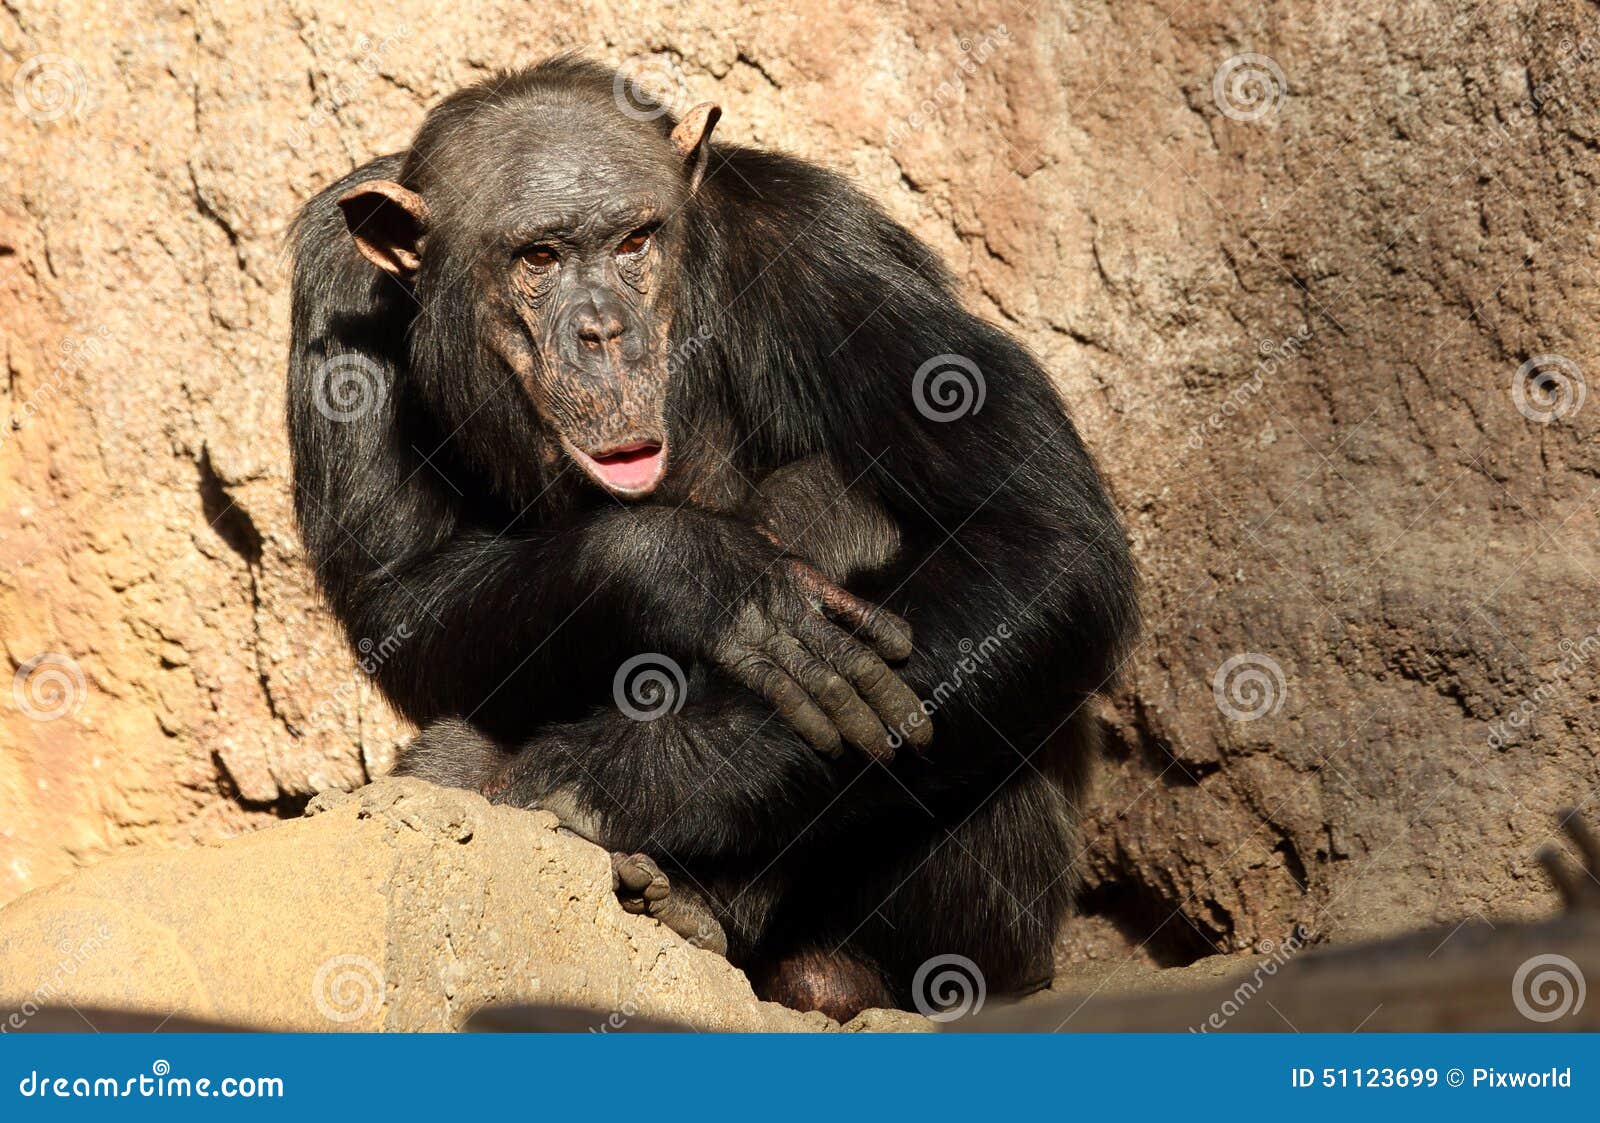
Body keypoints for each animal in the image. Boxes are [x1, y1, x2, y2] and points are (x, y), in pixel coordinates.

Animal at [287, 57, 1137, 1021]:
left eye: (634, 242)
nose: (603, 331)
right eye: (539, 257)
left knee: (834, 503)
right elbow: (396, 594)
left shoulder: (826, 247)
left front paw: (621, 778)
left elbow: (1040, 538)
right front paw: (696, 575)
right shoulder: (334, 288)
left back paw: (704, 904)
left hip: (996, 925)